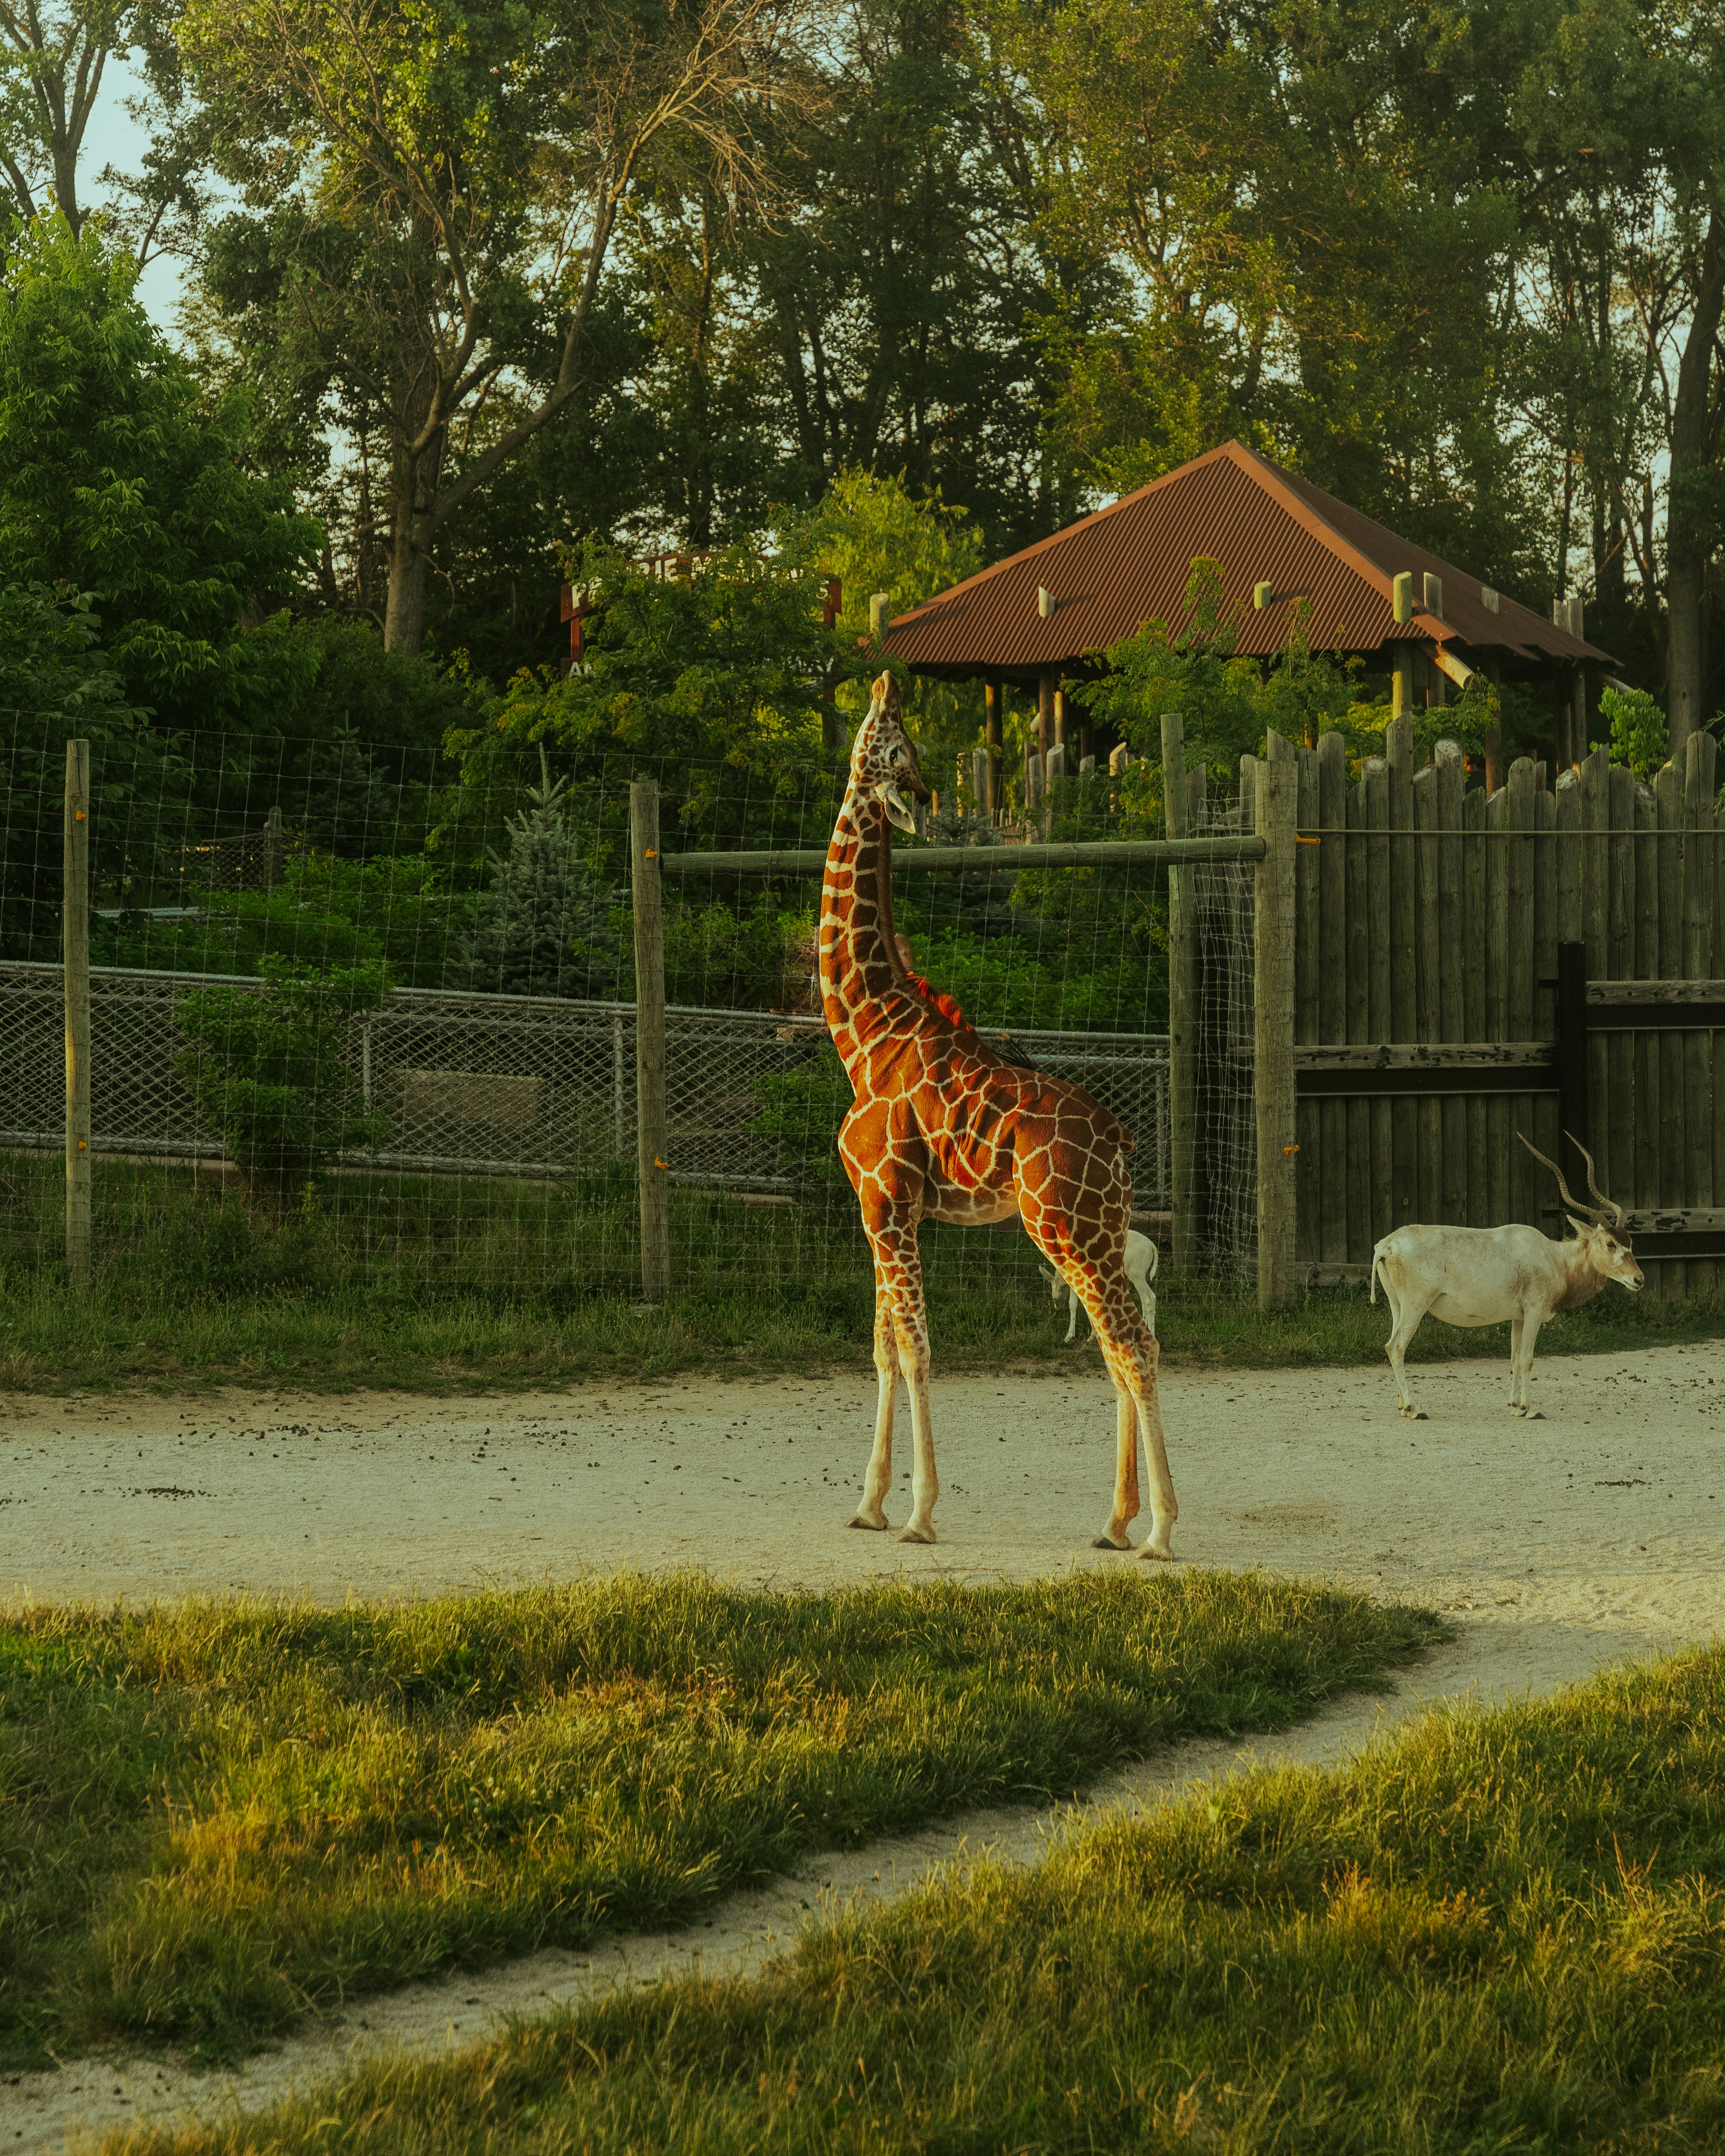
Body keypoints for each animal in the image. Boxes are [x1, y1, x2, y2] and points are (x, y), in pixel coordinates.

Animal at [820, 672, 1177, 1557]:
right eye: (894, 745)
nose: (916, 792)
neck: (861, 1032)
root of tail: (1118, 1141)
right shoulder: (878, 1207)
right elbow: (881, 1349)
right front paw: (868, 1503)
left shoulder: (887, 1202)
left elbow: (915, 1349)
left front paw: (918, 1514)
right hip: (1092, 1231)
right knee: (1119, 1349)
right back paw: (1113, 1521)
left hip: (1064, 1229)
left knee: (1134, 1346)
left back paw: (1158, 1529)